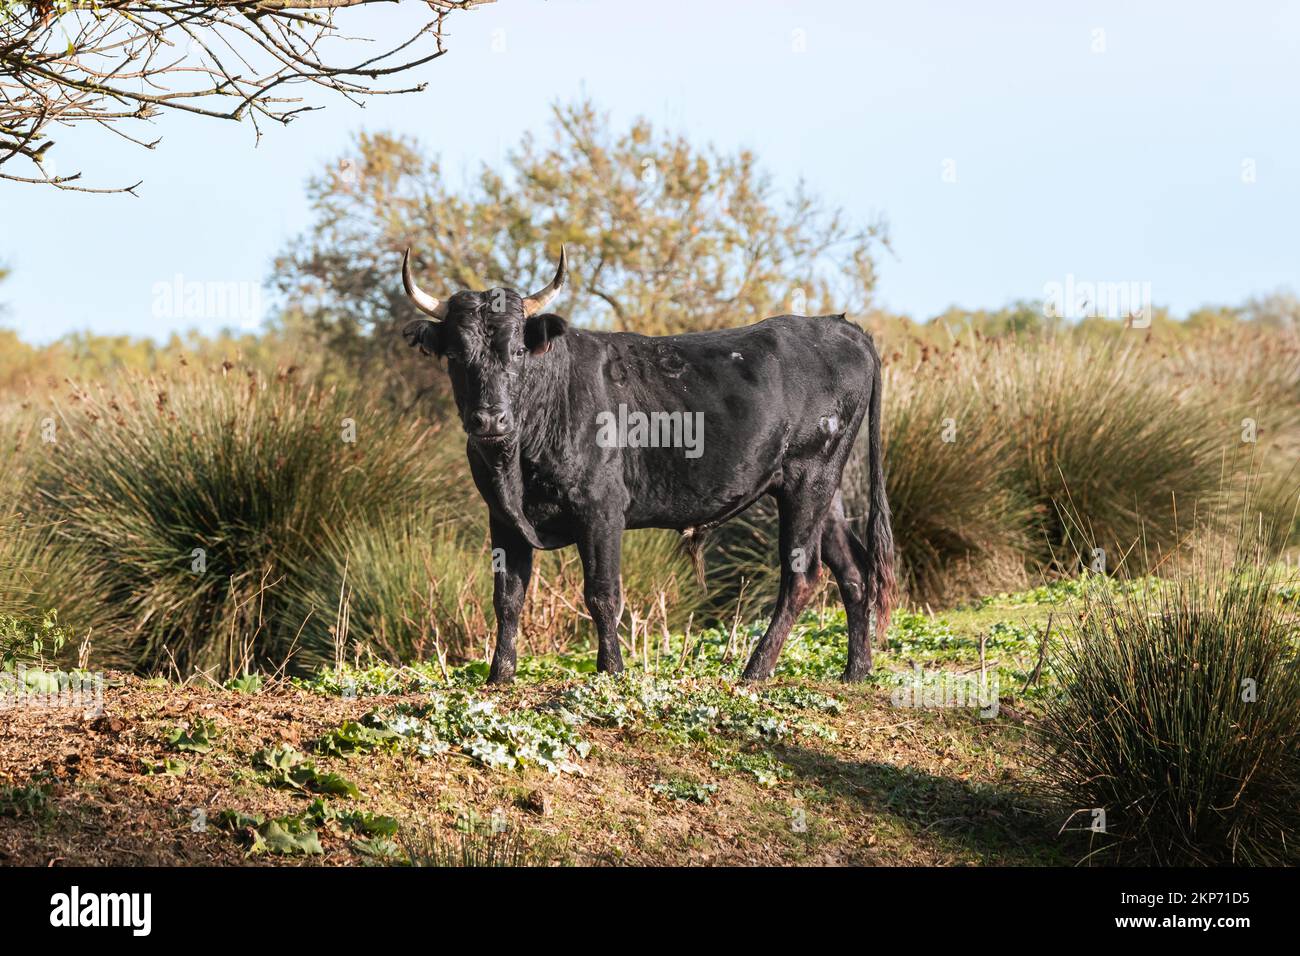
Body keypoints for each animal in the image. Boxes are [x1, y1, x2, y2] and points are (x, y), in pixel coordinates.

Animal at [401, 245, 894, 684]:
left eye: (518, 351)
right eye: (456, 354)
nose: (490, 418)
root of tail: (839, 326)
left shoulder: (601, 511)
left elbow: (602, 594)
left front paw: (611, 670)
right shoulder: (503, 519)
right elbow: (508, 597)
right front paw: (499, 676)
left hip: (809, 479)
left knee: (802, 576)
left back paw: (756, 670)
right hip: (823, 492)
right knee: (853, 569)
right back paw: (856, 670)